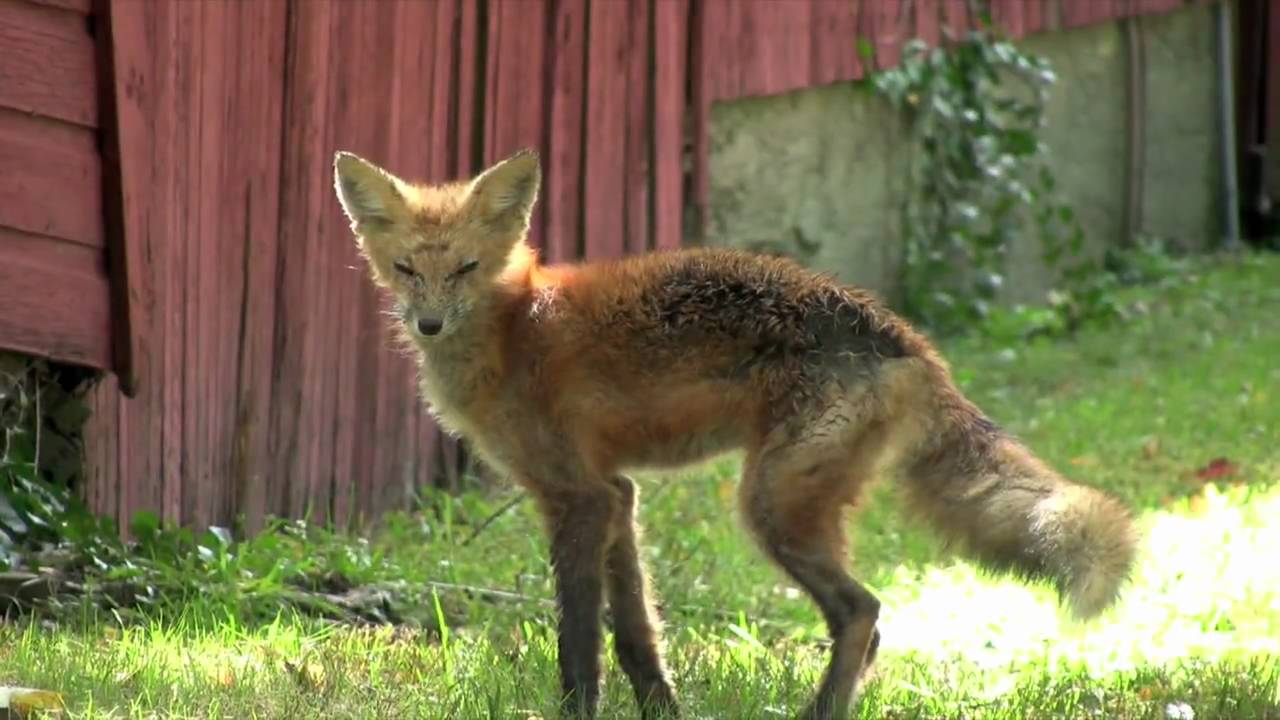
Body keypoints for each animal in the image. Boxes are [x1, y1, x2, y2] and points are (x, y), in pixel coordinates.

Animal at [332, 147, 1140, 720]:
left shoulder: (576, 497)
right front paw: (662, 709)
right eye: (406, 270)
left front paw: (579, 710)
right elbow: (636, 630)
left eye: (465, 269)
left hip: (769, 506)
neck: (512, 329)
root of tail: (903, 338)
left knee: (863, 612)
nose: (428, 324)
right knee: (870, 625)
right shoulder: (614, 492)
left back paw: (818, 714)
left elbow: (579, 639)